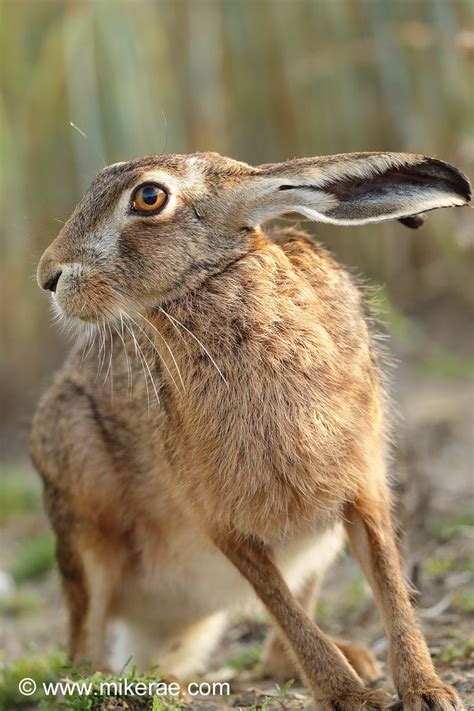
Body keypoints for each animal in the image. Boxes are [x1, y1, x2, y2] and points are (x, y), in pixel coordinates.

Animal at [31, 150, 471, 710]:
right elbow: (281, 606)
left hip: (318, 547)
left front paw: (428, 691)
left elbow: (390, 588)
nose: (48, 276)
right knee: (82, 654)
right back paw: (151, 686)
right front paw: (350, 699)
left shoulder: (363, 486)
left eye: (149, 197)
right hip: (84, 515)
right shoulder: (222, 519)